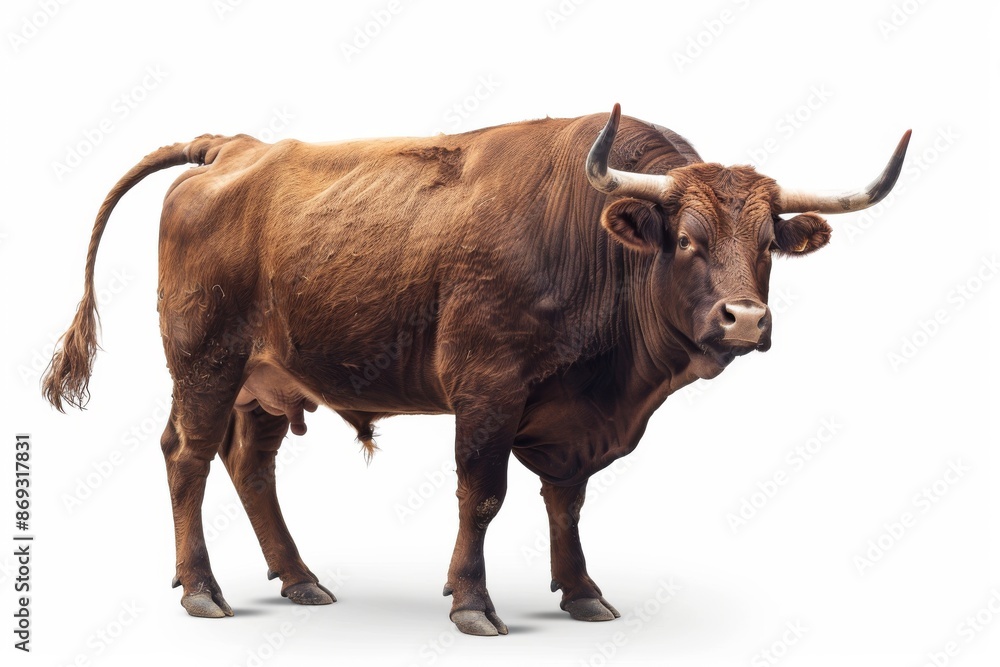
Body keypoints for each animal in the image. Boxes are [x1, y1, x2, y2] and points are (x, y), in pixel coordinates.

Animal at [43, 104, 909, 636]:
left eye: (768, 244)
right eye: (689, 239)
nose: (746, 319)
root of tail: (235, 147)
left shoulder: (570, 420)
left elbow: (566, 502)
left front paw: (583, 591)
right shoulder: (487, 389)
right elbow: (482, 495)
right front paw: (473, 600)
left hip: (267, 379)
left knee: (249, 464)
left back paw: (298, 577)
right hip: (205, 362)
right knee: (187, 456)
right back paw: (202, 588)